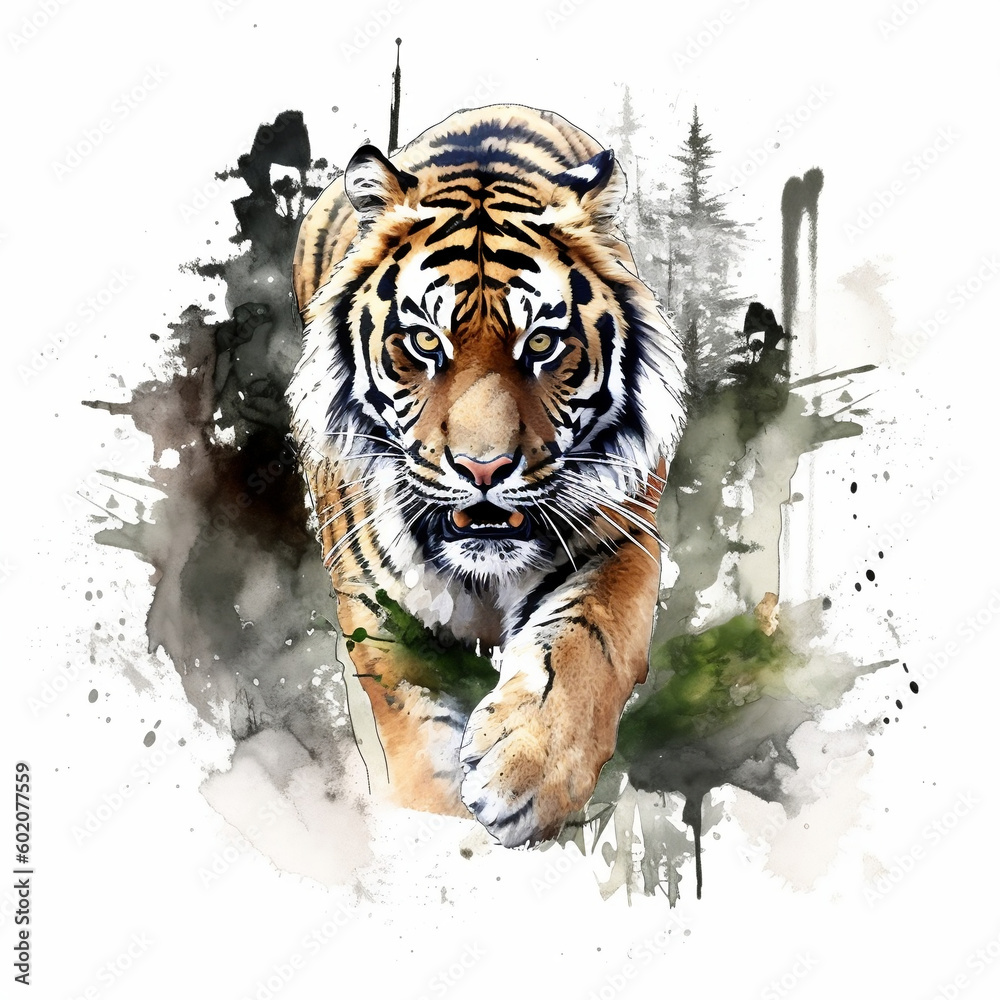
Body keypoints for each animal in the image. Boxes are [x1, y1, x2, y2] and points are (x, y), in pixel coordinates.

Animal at [287, 104, 686, 847]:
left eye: (542, 343)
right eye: (424, 340)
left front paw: (527, 767)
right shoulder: (376, 607)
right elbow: (411, 742)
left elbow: (587, 643)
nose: (484, 468)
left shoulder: (621, 541)